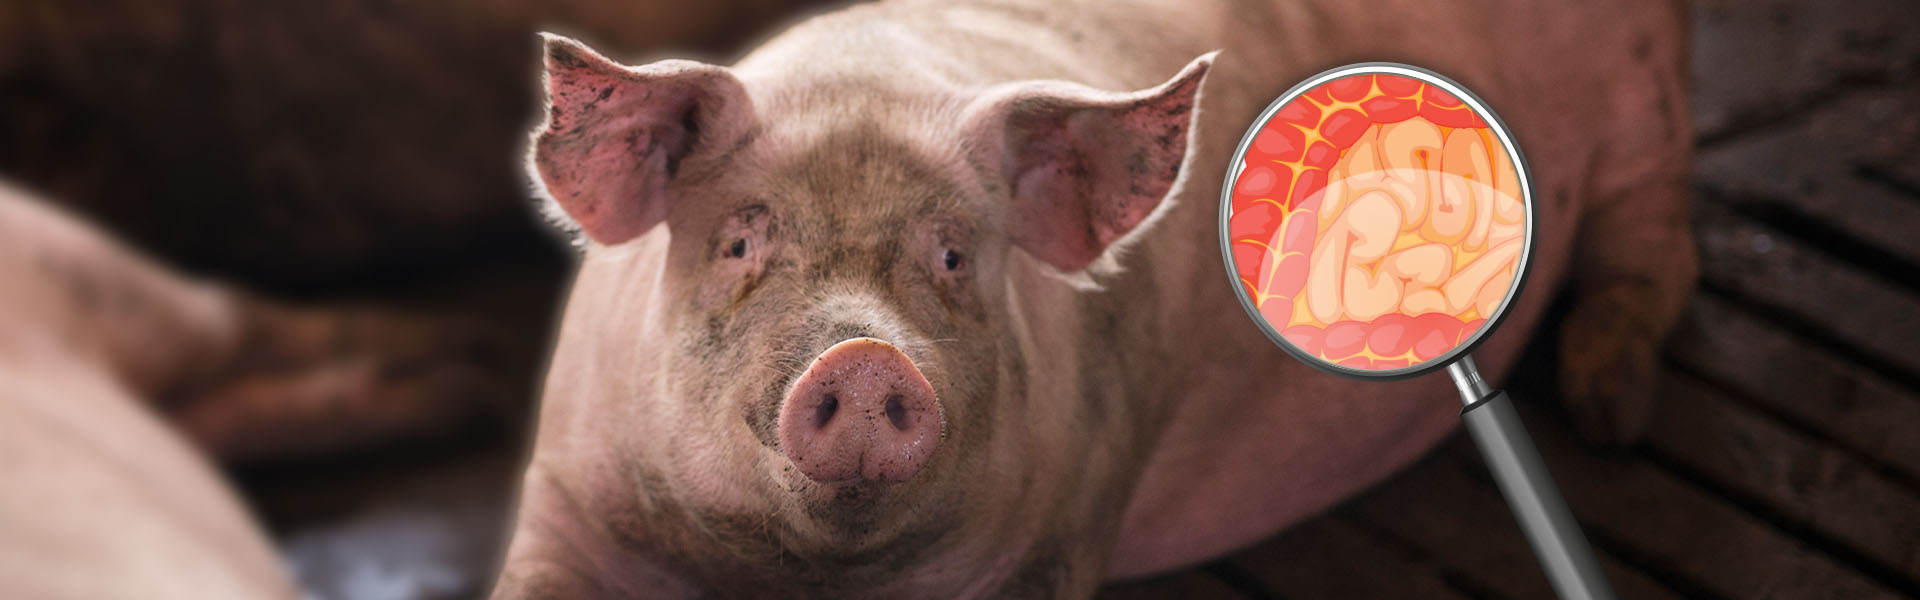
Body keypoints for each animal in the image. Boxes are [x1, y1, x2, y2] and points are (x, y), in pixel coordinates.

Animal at [495, 0, 1694, 596]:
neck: (798, 586)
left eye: (955, 257)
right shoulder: (564, 498)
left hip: (1651, 106)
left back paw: (1611, 416)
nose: (863, 357)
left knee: (1658, 243)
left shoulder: (1062, 530)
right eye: (741, 240)